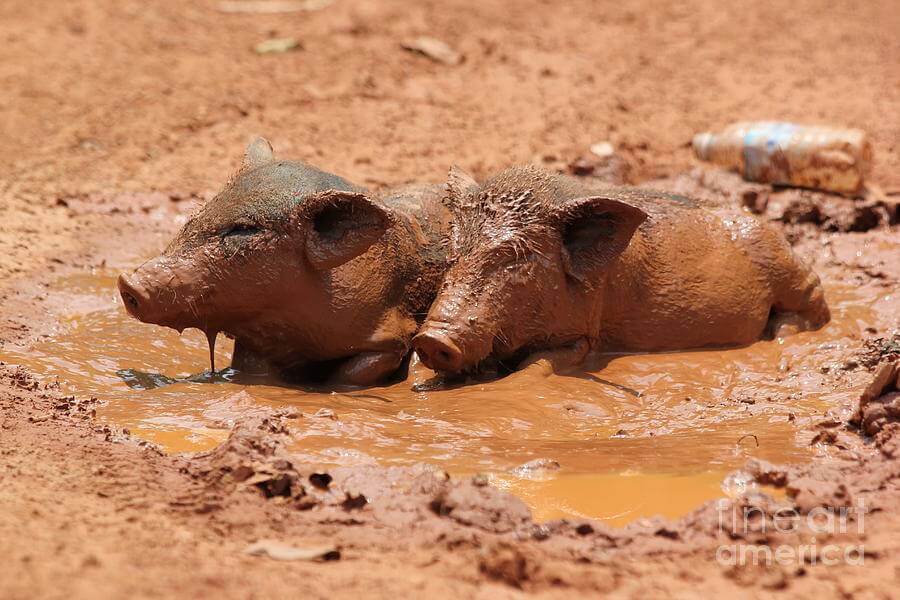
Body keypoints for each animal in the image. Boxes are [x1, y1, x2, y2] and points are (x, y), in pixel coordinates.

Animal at [413, 166, 830, 374]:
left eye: (516, 256)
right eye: (453, 252)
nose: (432, 339)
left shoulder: (582, 337)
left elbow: (538, 366)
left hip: (792, 273)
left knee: (817, 308)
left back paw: (783, 333)